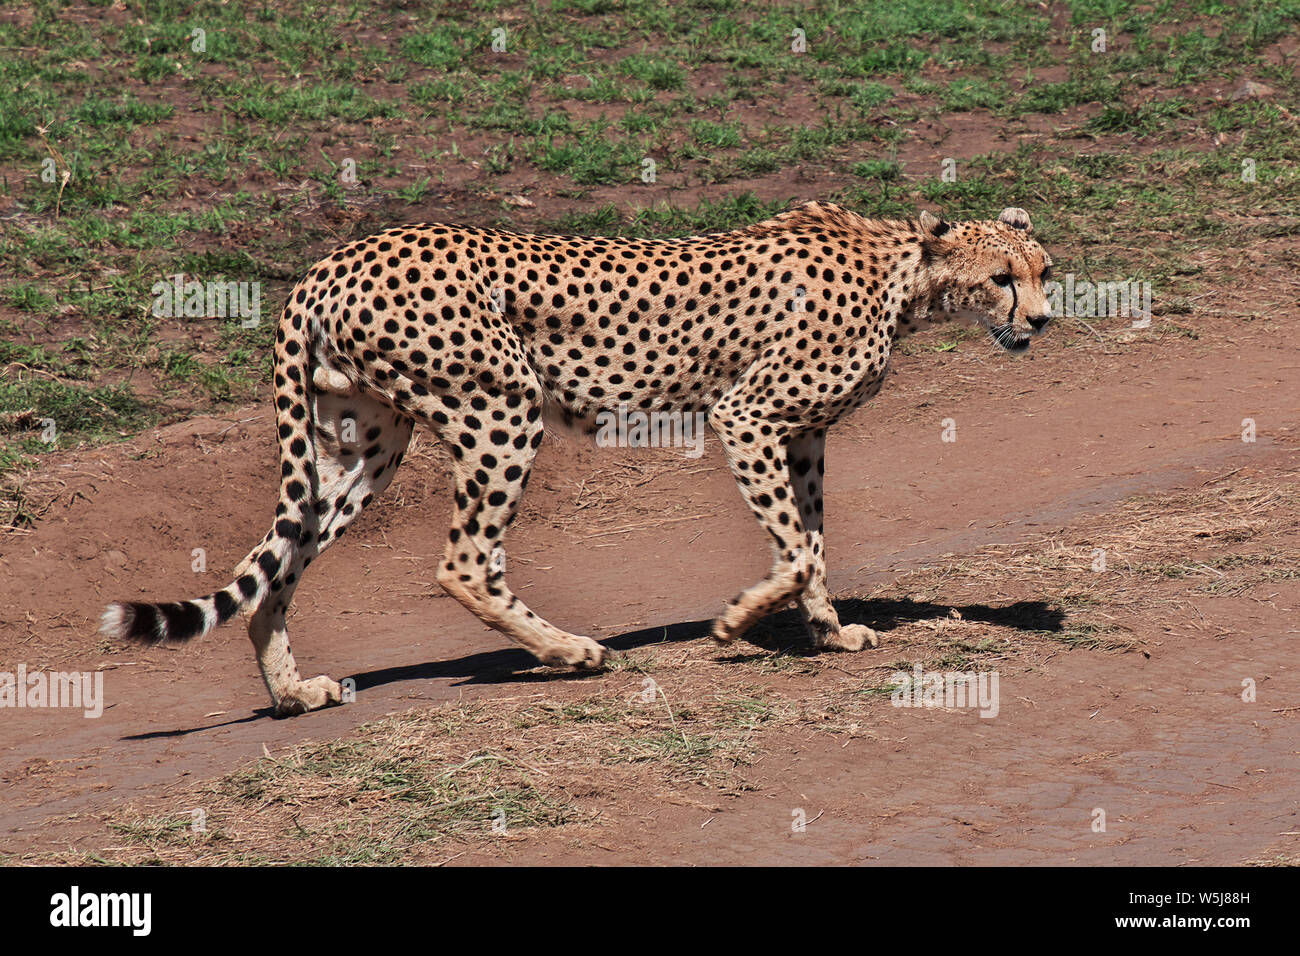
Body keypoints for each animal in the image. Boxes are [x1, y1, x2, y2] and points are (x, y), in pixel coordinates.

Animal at [101, 201, 1053, 716]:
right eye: (1003, 278)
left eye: (1043, 268)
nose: (1044, 319)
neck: (904, 276)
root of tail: (334, 259)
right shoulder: (746, 415)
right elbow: (796, 548)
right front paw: (737, 622)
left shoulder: (803, 435)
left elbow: (812, 541)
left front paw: (828, 630)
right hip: (500, 407)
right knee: (463, 562)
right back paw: (569, 652)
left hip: (364, 440)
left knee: (283, 558)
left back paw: (292, 694)